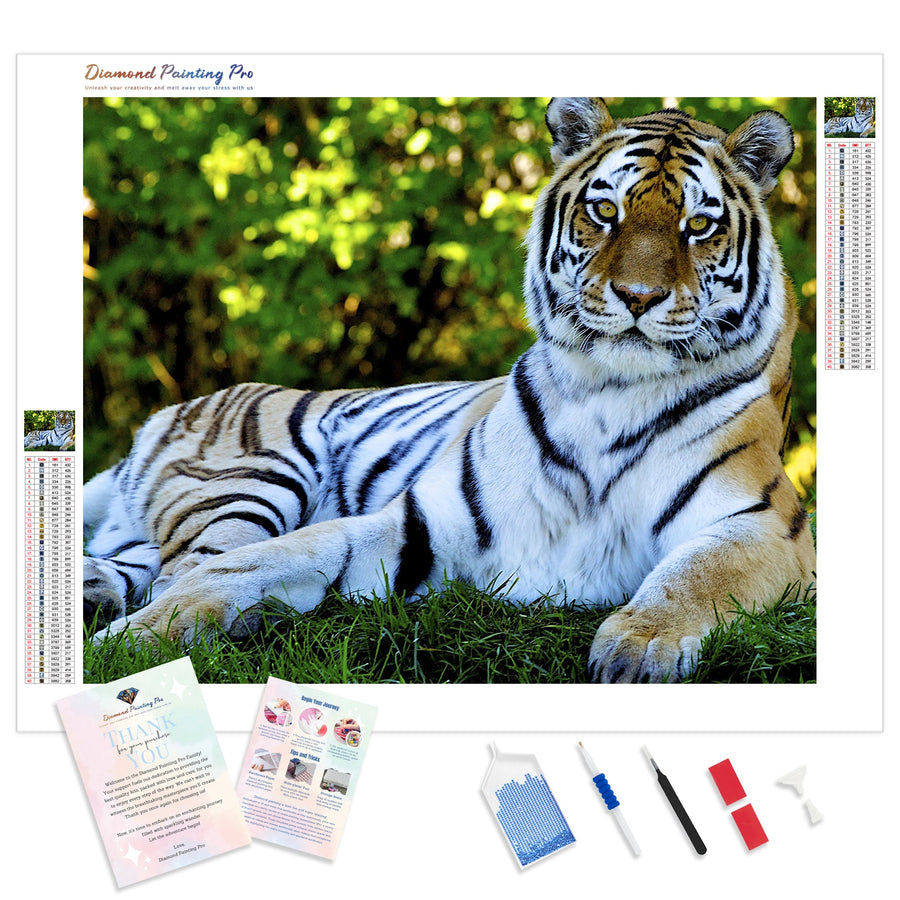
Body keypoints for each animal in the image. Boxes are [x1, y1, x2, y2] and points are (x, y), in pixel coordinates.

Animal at [86, 97, 816, 683]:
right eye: (605, 211)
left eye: (699, 226)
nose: (637, 297)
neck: (610, 395)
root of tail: (165, 414)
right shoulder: (417, 523)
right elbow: (261, 563)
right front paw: (143, 638)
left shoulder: (765, 525)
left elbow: (698, 578)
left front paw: (639, 646)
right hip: (253, 478)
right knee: (182, 564)